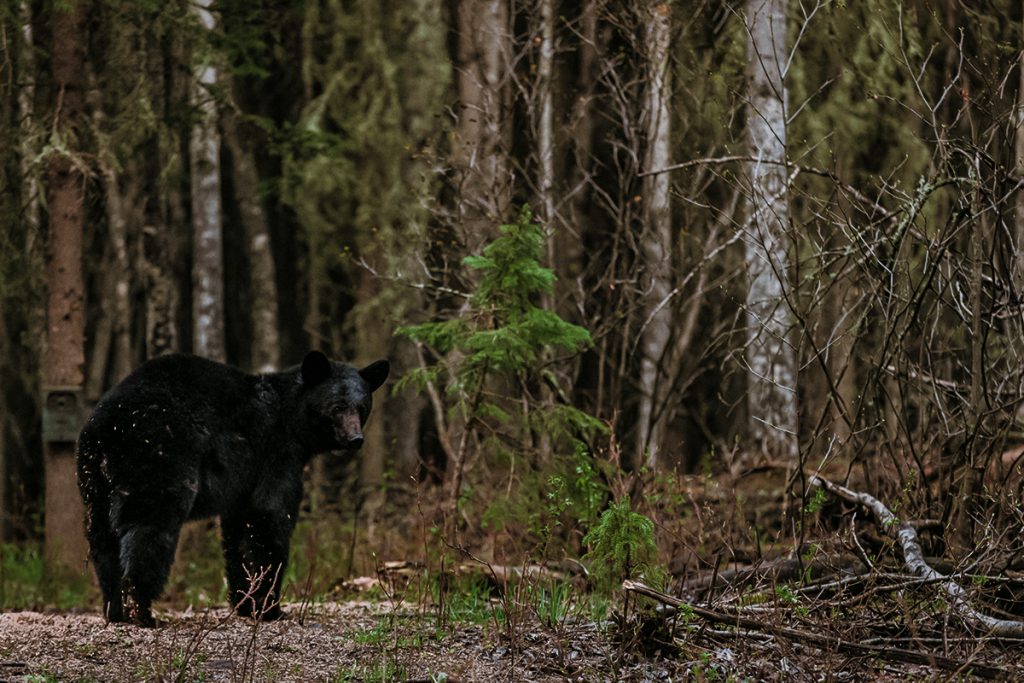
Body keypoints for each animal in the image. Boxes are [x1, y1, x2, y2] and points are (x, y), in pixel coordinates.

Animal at [76, 351, 389, 626]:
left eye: (361, 407)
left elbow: (238, 530)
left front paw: (245, 601)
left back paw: (114, 608)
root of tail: (109, 426)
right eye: (337, 407)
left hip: (94, 477)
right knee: (149, 529)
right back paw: (142, 612)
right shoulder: (275, 454)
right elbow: (269, 516)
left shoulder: (242, 483)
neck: (290, 419)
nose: (355, 439)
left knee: (102, 538)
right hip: (159, 455)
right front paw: (269, 607)